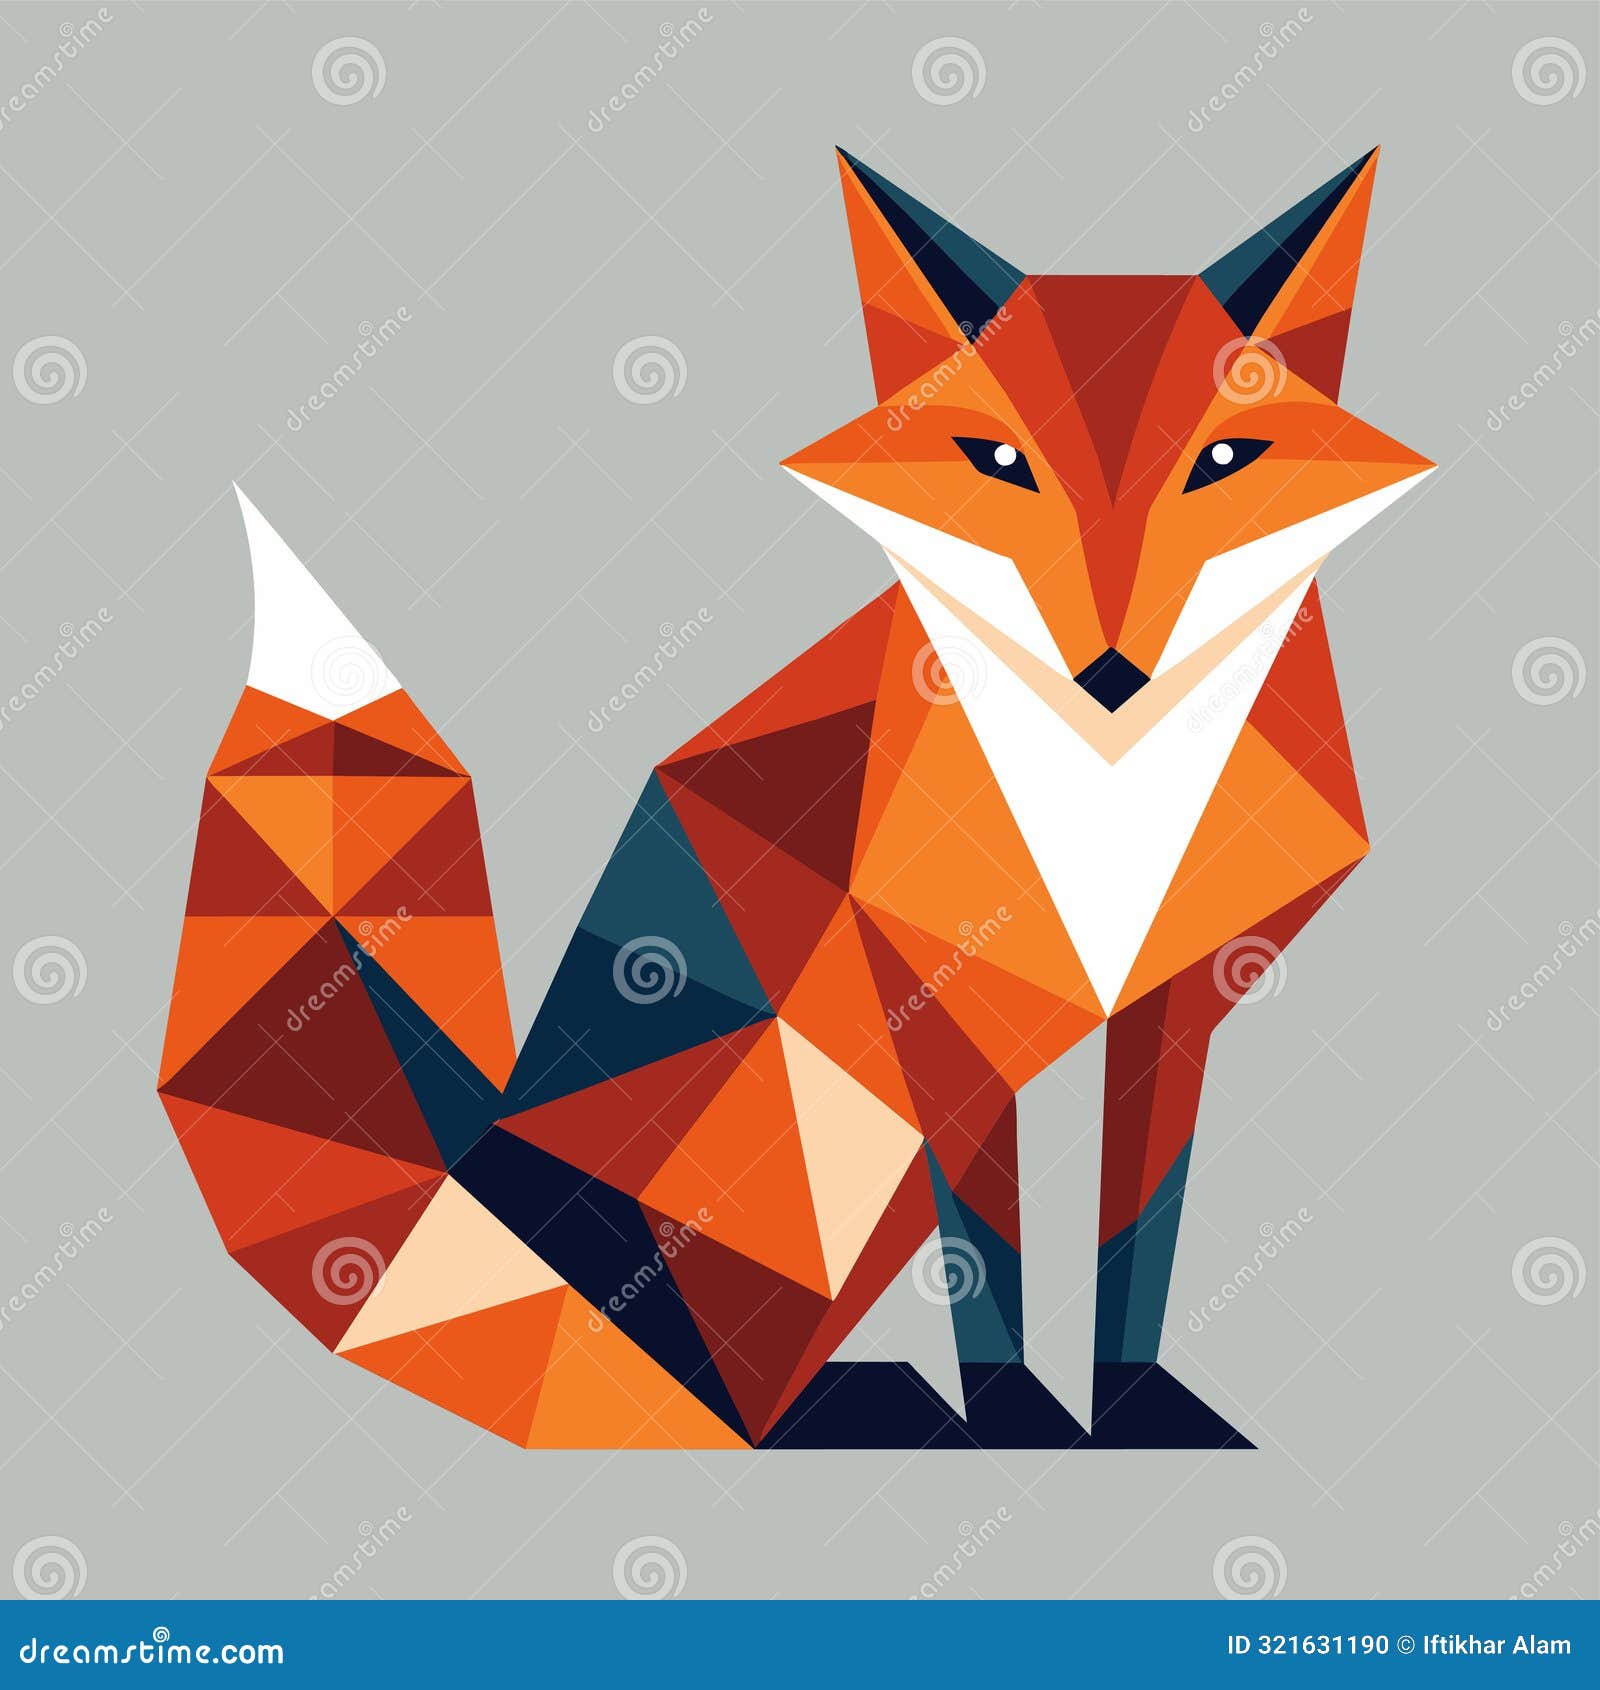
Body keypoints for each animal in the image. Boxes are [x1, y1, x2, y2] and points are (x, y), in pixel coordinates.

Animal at [158, 148, 1432, 1451]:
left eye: (1223, 462)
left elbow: (1137, 1242)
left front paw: (1130, 1410)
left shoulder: (1182, 1002)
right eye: (997, 462)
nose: (1111, 669)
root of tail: (473, 1182)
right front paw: (1016, 1415)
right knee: (710, 1390)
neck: (1106, 792)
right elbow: (990, 1260)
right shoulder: (938, 1015)